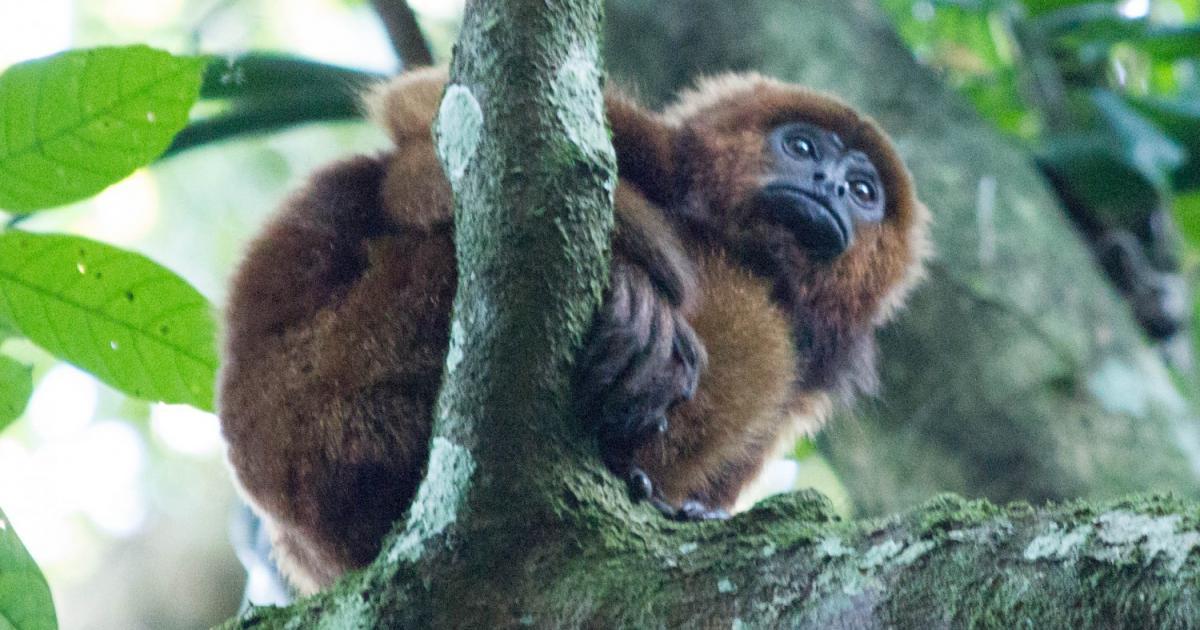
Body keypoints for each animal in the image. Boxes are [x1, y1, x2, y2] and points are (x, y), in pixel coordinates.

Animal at [218, 67, 930, 594]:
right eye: (802, 146)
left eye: (864, 191)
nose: (829, 184)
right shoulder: (653, 147)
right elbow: (432, 114)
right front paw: (638, 296)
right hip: (345, 366)